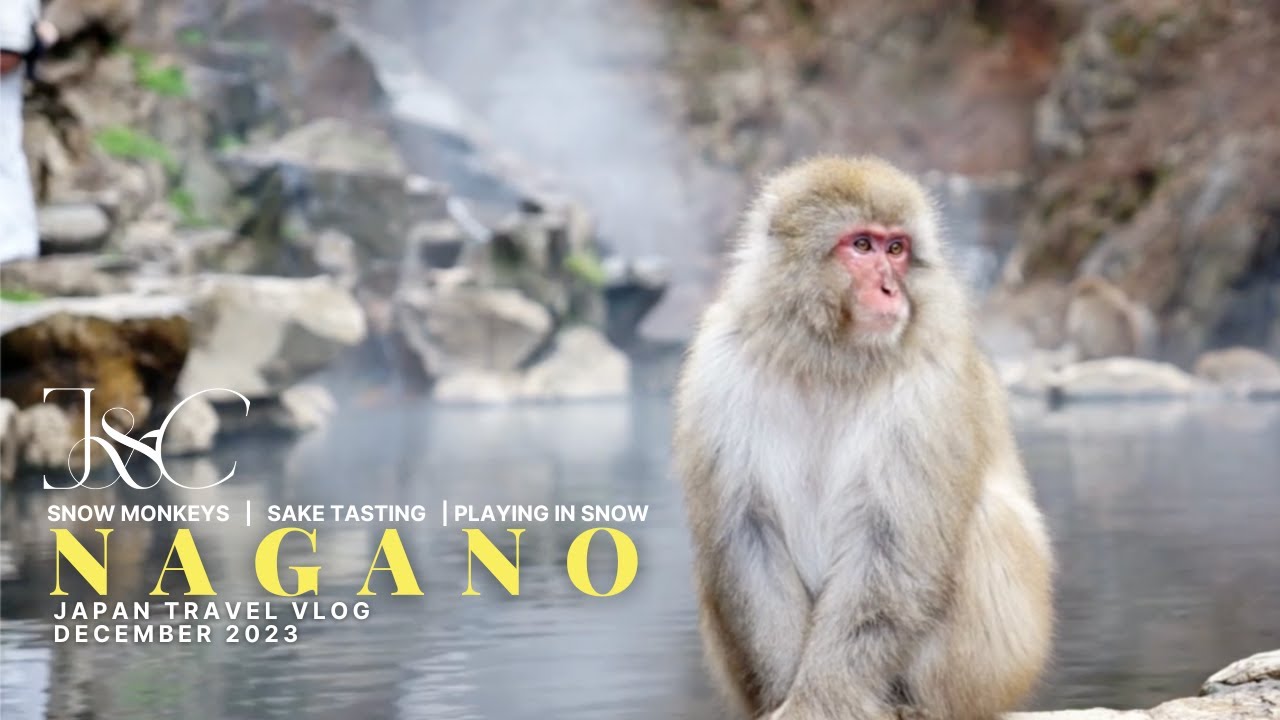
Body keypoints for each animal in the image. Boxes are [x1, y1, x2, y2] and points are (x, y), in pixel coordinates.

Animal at [674, 156, 1053, 720]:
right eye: (861, 245)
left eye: (896, 249)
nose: (891, 290)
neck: (829, 356)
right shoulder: (719, 366)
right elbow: (747, 534)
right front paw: (786, 695)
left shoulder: (931, 385)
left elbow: (894, 546)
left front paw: (820, 701)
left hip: (999, 664)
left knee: (987, 521)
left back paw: (915, 706)